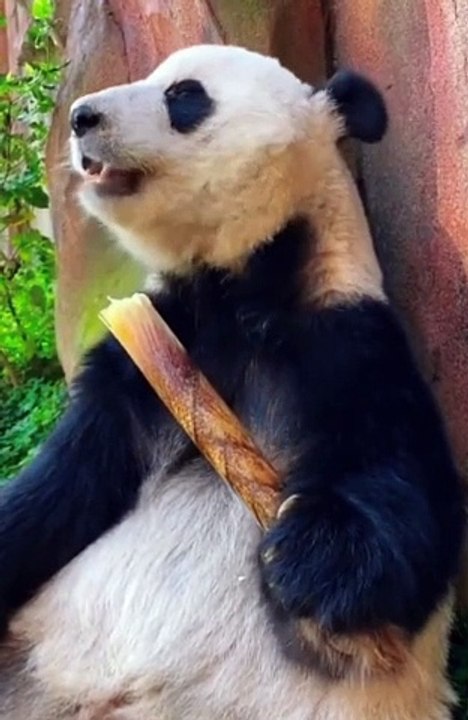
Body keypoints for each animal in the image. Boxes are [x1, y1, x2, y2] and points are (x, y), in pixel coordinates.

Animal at [0, 44, 464, 720]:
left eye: (184, 96)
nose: (83, 116)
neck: (237, 286)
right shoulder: (143, 360)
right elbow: (65, 485)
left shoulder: (348, 340)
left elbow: (409, 493)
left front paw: (309, 556)